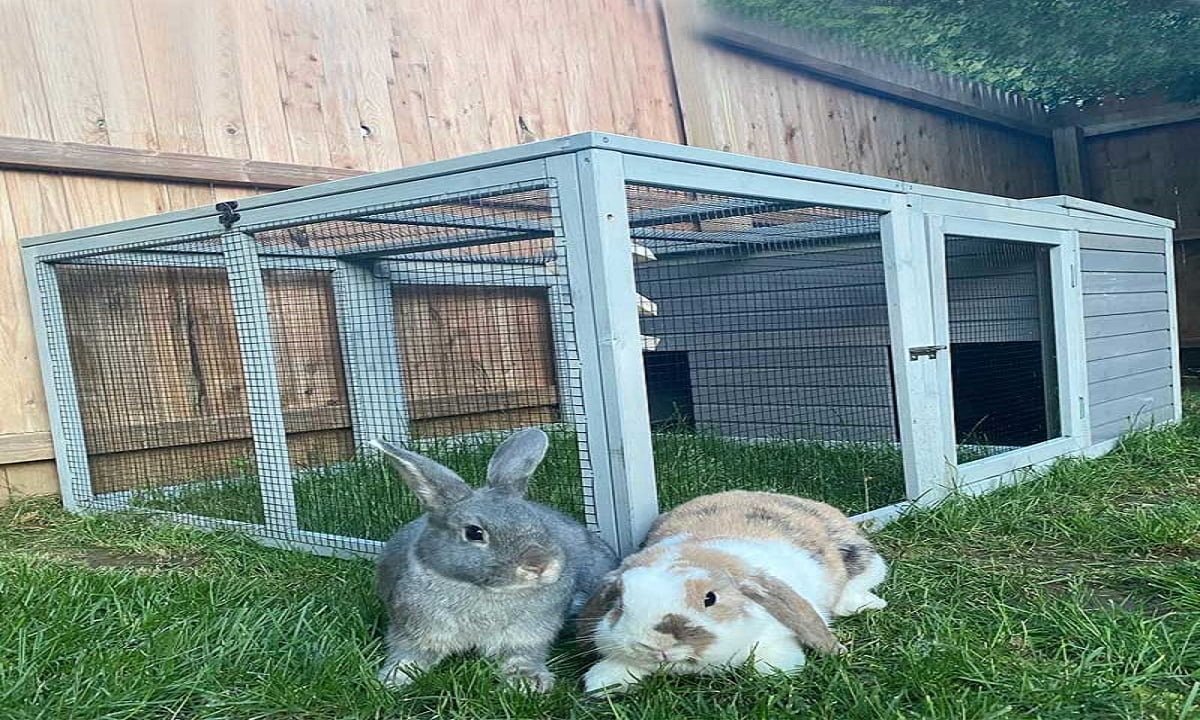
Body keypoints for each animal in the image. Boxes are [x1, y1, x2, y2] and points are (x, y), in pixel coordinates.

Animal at [371, 428, 618, 692]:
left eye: (537, 521)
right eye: (474, 533)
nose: (539, 565)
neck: (485, 590)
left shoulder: (529, 634)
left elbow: (522, 655)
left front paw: (529, 681)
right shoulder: (414, 630)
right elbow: (408, 655)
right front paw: (392, 680)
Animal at [578, 490, 888, 693]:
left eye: (710, 599)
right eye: (619, 605)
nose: (657, 646)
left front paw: (776, 670)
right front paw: (603, 680)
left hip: (865, 560)